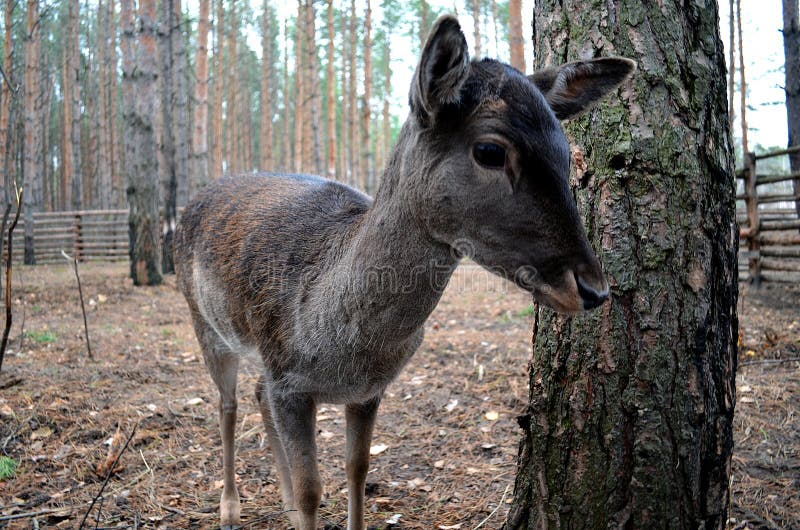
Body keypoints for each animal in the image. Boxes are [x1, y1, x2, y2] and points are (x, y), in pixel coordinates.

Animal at [174, 15, 635, 530]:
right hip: (204, 321)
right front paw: (301, 501)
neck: (339, 340)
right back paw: (230, 507)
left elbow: (357, 469)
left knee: (255, 393)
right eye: (490, 151)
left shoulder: (367, 390)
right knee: (227, 404)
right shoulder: (289, 380)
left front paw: (319, 500)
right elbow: (315, 489)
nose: (594, 288)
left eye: (565, 149)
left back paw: (283, 502)